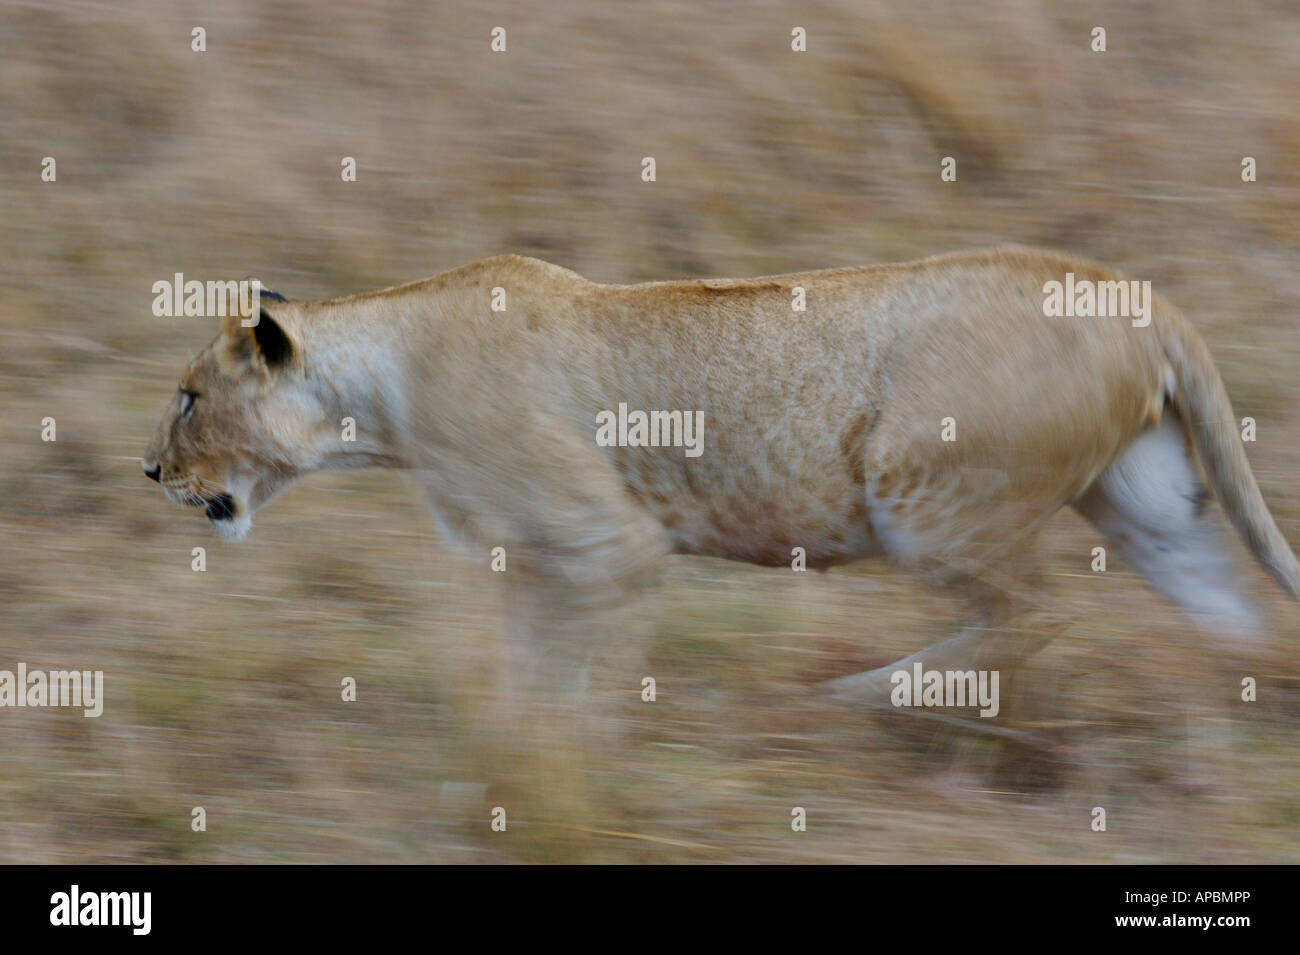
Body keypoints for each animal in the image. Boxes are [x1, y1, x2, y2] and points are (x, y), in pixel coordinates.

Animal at [143, 247, 1298, 713]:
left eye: (190, 395)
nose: (149, 467)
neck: (377, 397)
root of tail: (1126, 289)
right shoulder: (533, 561)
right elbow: (525, 665)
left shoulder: (610, 543)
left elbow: (571, 679)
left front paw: (558, 762)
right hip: (1152, 506)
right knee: (1229, 615)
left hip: (921, 492)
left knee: (1032, 613)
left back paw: (858, 699)